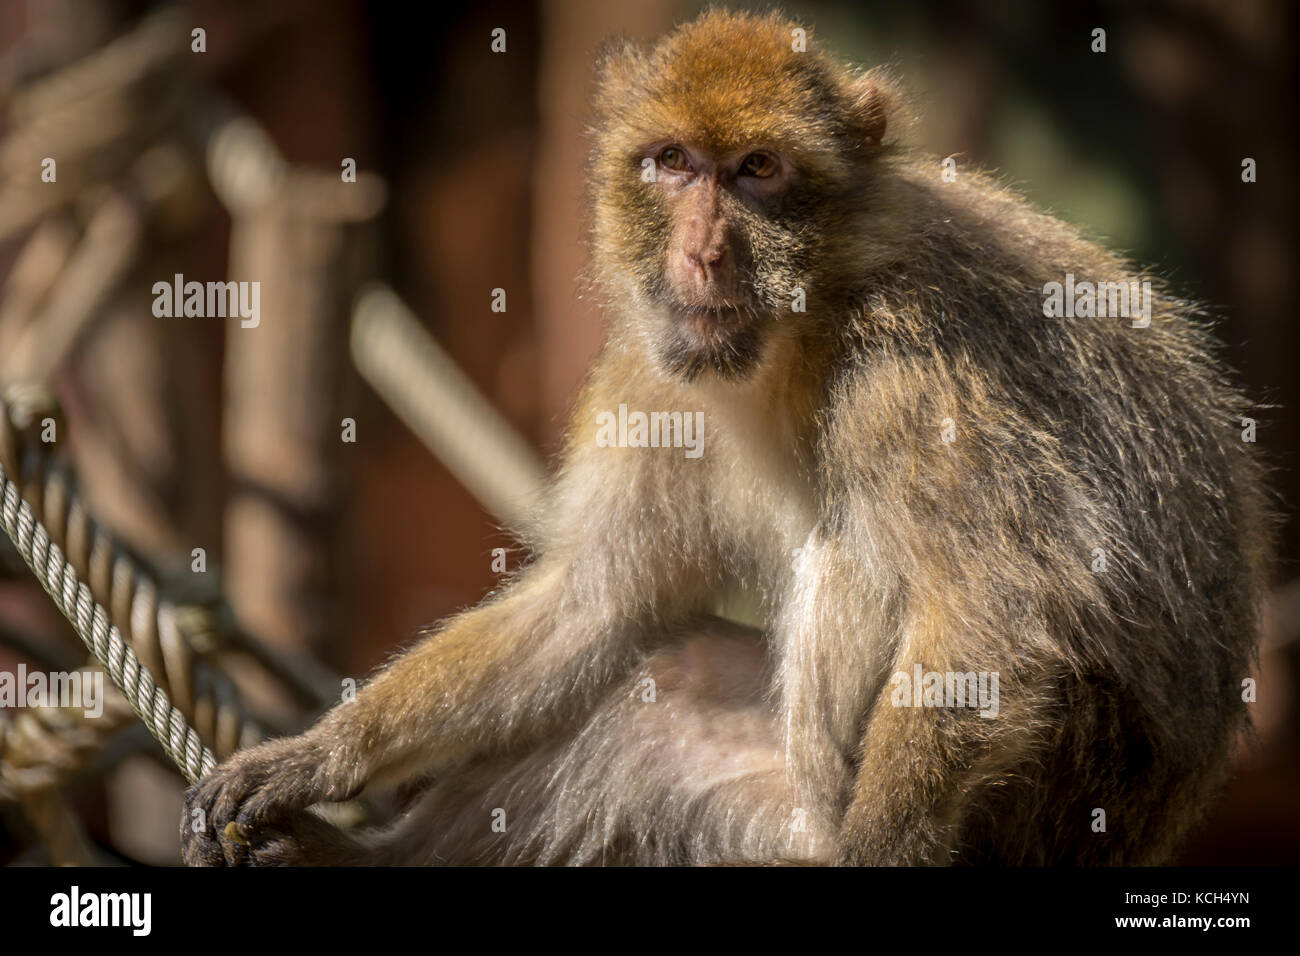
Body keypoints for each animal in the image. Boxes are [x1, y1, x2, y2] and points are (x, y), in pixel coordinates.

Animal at [182, 10, 1272, 866]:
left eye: (757, 171)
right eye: (672, 164)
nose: (701, 252)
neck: (799, 328)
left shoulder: (915, 366)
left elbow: (989, 619)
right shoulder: (650, 361)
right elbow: (595, 606)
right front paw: (318, 755)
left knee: (854, 544)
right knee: (660, 685)